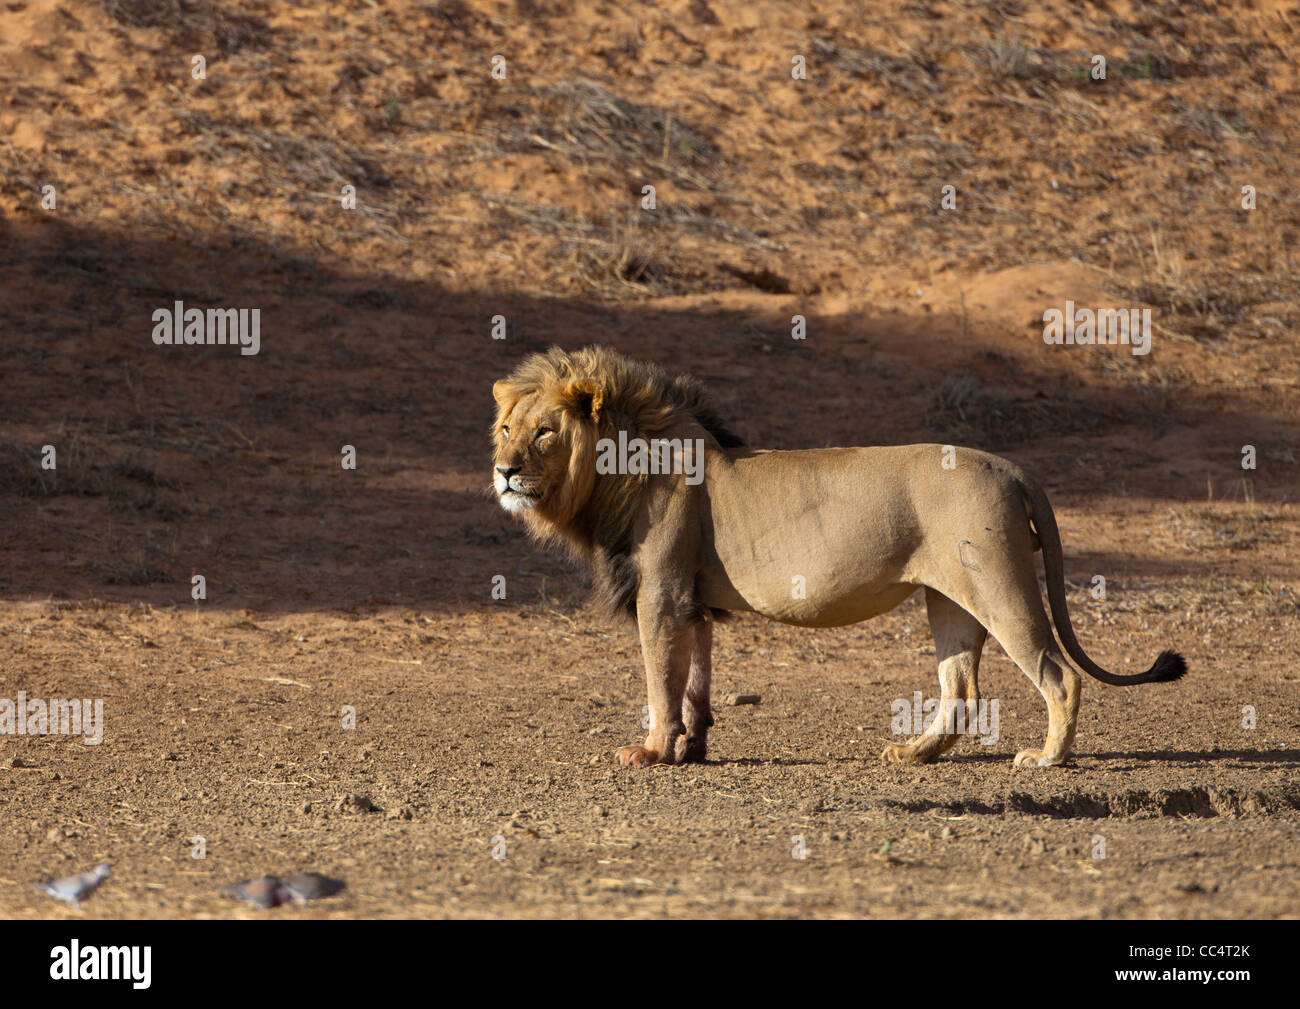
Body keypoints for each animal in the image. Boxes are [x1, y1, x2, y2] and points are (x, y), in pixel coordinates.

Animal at [491, 345, 1186, 769]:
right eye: (504, 430)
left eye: (544, 433)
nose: (503, 471)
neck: (619, 473)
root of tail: (1013, 468)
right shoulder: (694, 604)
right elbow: (694, 683)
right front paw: (691, 751)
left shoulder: (661, 593)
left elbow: (661, 680)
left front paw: (653, 751)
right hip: (950, 597)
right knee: (960, 687)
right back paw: (915, 754)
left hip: (1000, 584)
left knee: (1058, 674)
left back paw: (1047, 759)